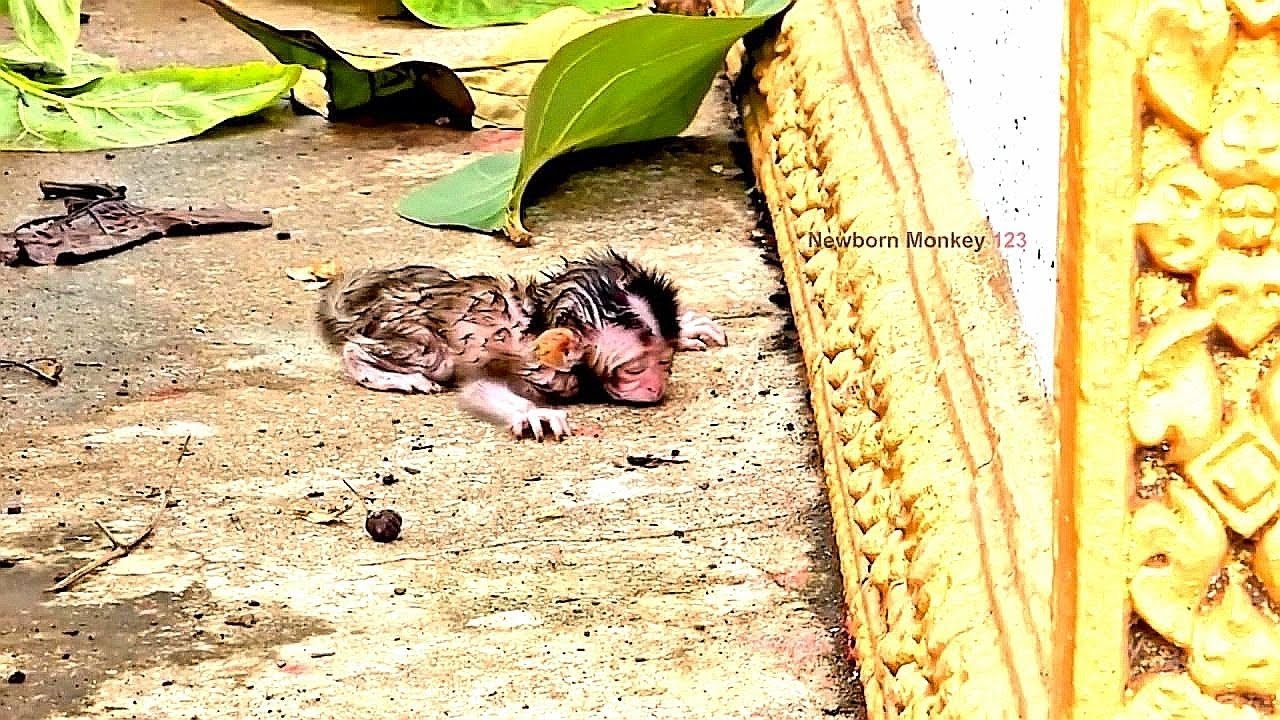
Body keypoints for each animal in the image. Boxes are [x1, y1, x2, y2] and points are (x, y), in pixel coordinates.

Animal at [315, 248, 728, 440]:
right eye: (634, 368)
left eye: (665, 363)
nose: (655, 388)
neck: (538, 322)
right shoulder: (536, 370)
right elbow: (480, 388)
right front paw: (532, 414)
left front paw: (688, 327)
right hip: (413, 334)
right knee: (385, 350)